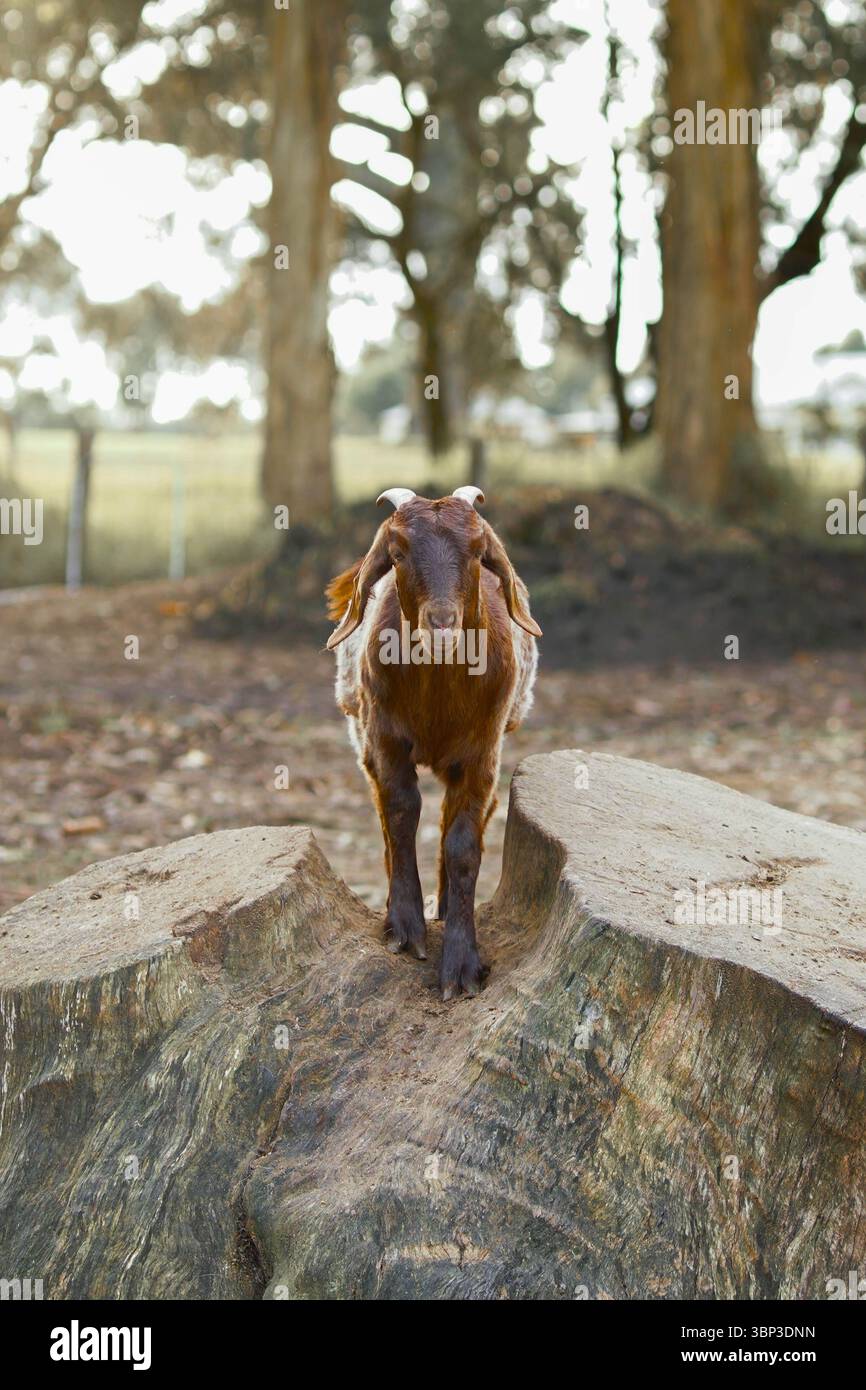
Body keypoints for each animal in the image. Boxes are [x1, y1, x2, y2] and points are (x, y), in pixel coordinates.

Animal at [325, 486, 541, 999]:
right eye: (398, 553)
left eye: (479, 552)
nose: (441, 623)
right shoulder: (384, 739)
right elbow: (401, 816)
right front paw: (404, 927)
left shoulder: (482, 753)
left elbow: (463, 843)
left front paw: (462, 964)